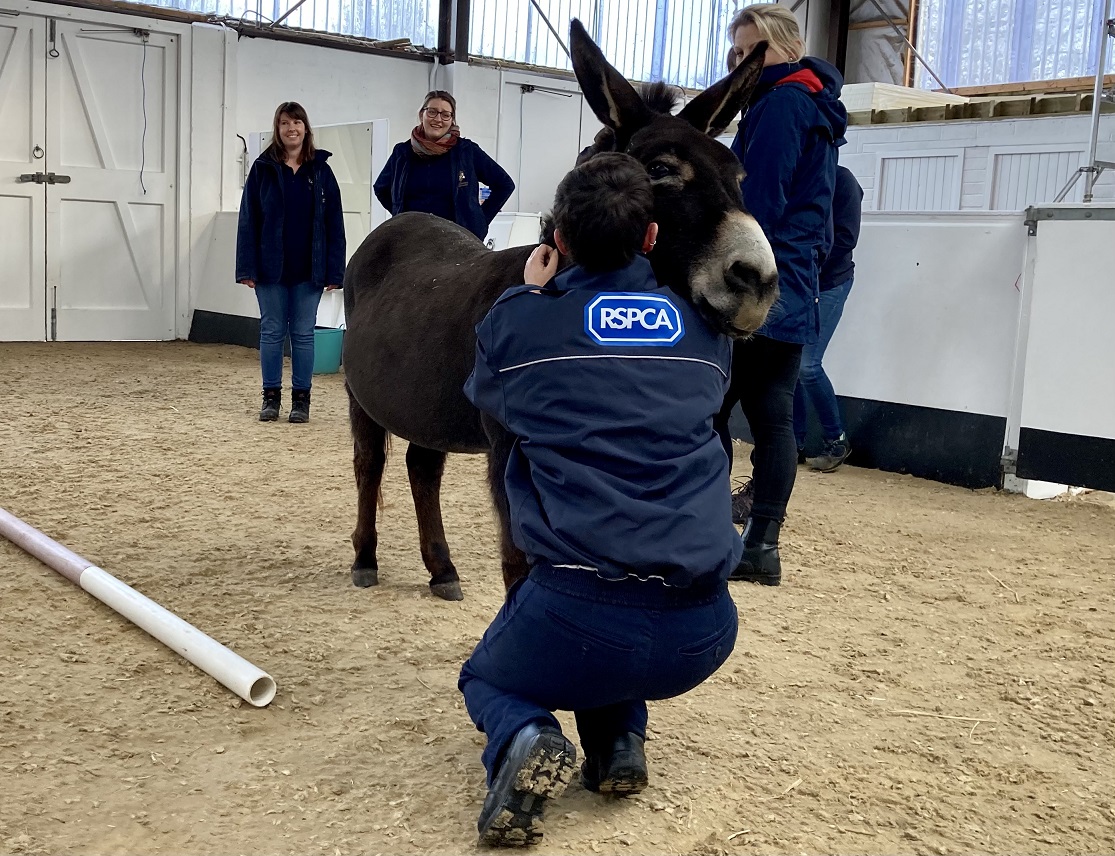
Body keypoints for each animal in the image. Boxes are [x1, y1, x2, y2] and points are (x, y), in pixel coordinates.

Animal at [341, 19, 778, 601]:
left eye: (738, 175)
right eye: (662, 169)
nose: (758, 280)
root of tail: (400, 222)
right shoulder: (511, 454)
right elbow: (519, 562)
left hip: (425, 398)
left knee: (422, 465)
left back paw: (442, 569)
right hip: (362, 395)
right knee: (370, 465)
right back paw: (364, 557)